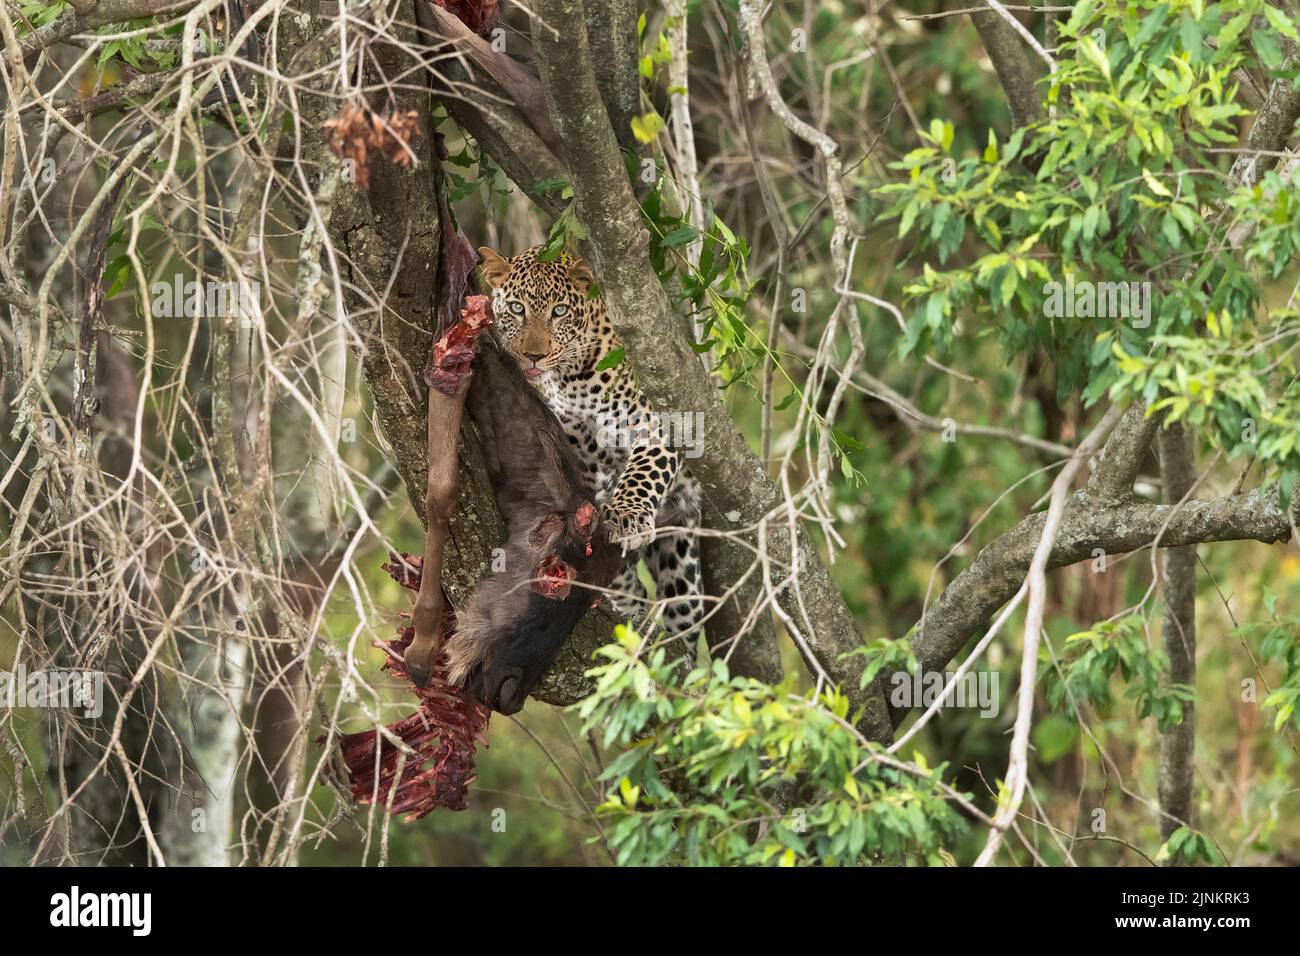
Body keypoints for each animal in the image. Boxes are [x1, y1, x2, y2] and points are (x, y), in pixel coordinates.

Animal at [477, 244, 705, 646]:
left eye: (559, 311)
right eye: (517, 308)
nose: (533, 355)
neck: (571, 379)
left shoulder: (657, 422)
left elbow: (643, 471)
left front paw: (628, 516)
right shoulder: (577, 456)